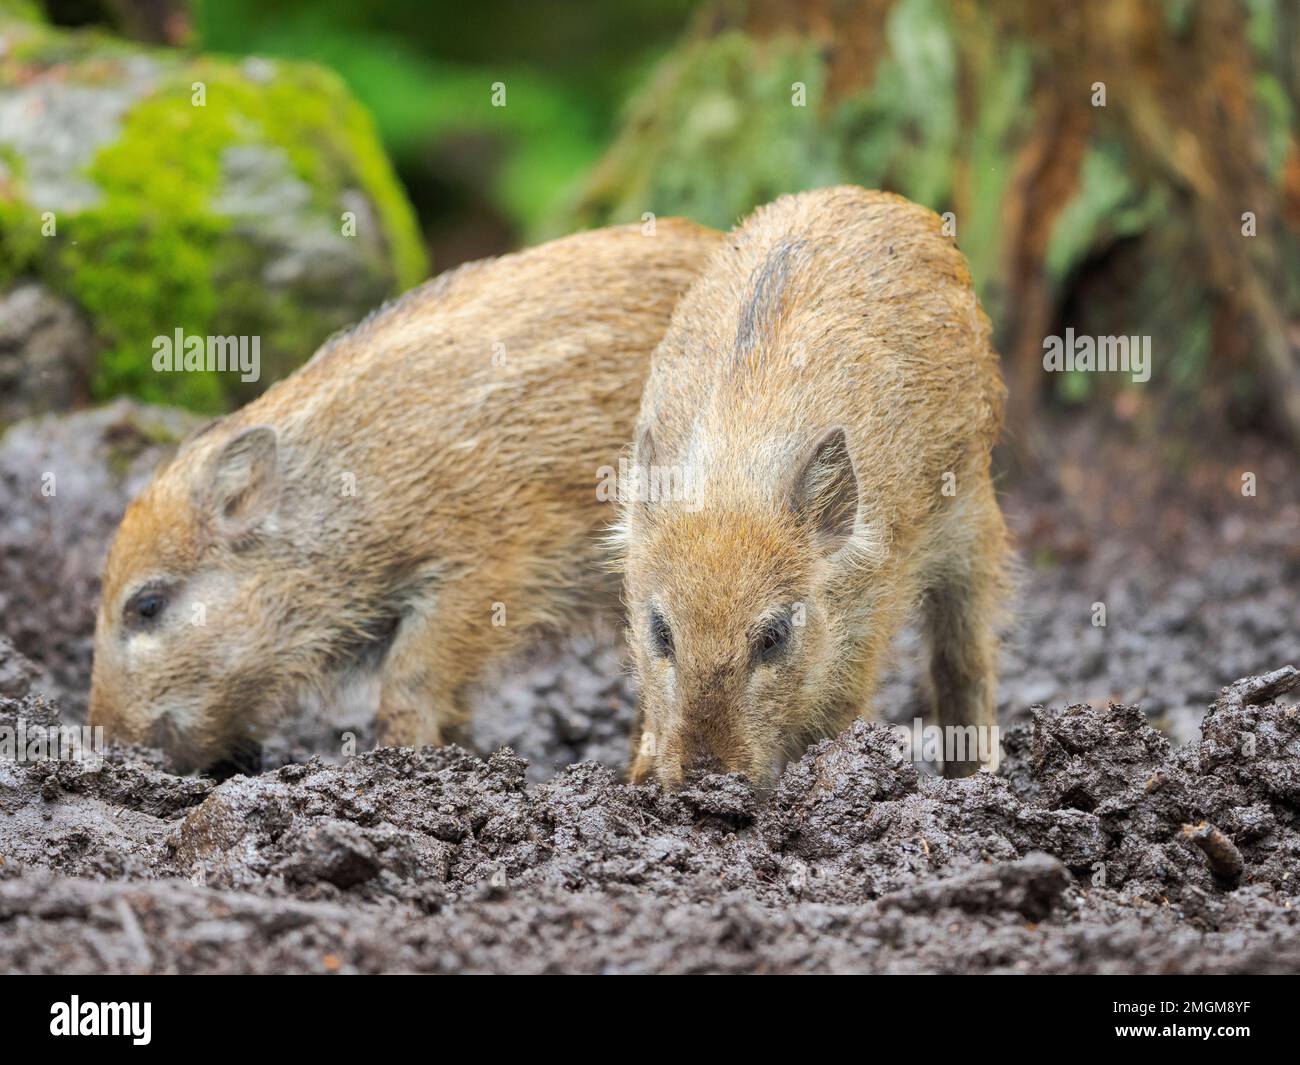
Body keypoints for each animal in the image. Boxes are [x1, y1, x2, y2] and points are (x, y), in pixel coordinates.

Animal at [619, 187, 1010, 786]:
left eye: (775, 635)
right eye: (662, 631)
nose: (706, 777)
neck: (736, 479)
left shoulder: (868, 617)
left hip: (973, 513)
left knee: (964, 659)